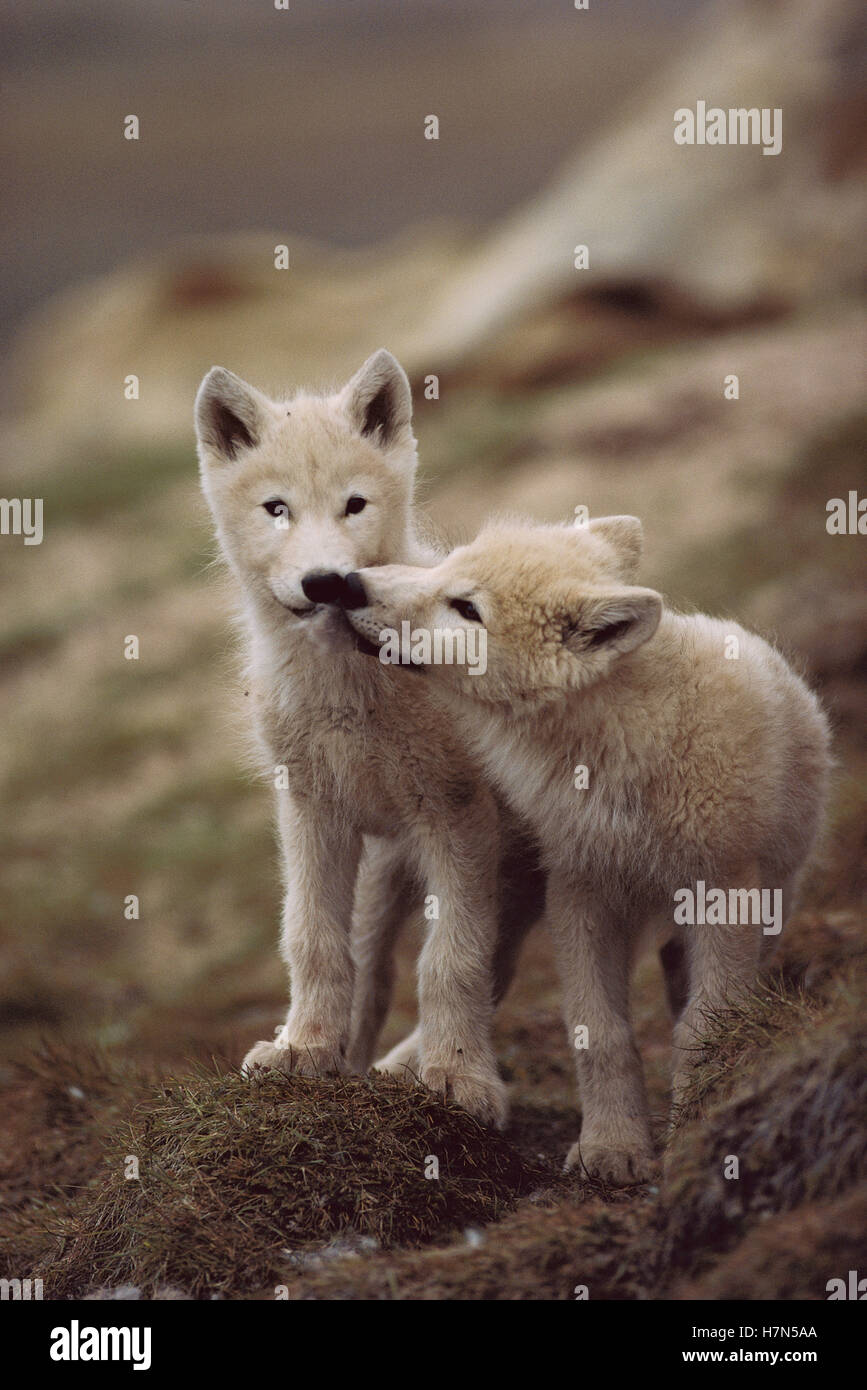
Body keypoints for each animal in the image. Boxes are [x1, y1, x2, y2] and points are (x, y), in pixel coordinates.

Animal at [195, 351, 544, 1127]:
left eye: (354, 505)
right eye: (277, 509)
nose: (326, 581)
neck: (348, 694)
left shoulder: (457, 817)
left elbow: (452, 961)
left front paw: (459, 1078)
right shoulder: (311, 812)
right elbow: (312, 941)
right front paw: (304, 1051)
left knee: (494, 966)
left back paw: (409, 1065)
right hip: (384, 868)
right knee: (375, 963)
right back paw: (356, 1060)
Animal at [336, 516, 832, 1182]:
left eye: (466, 608)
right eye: (444, 566)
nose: (349, 584)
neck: (623, 742)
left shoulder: (724, 892)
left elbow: (704, 1023)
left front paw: (692, 1135)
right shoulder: (580, 894)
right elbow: (600, 1031)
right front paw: (613, 1147)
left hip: (768, 900)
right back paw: (405, 1069)